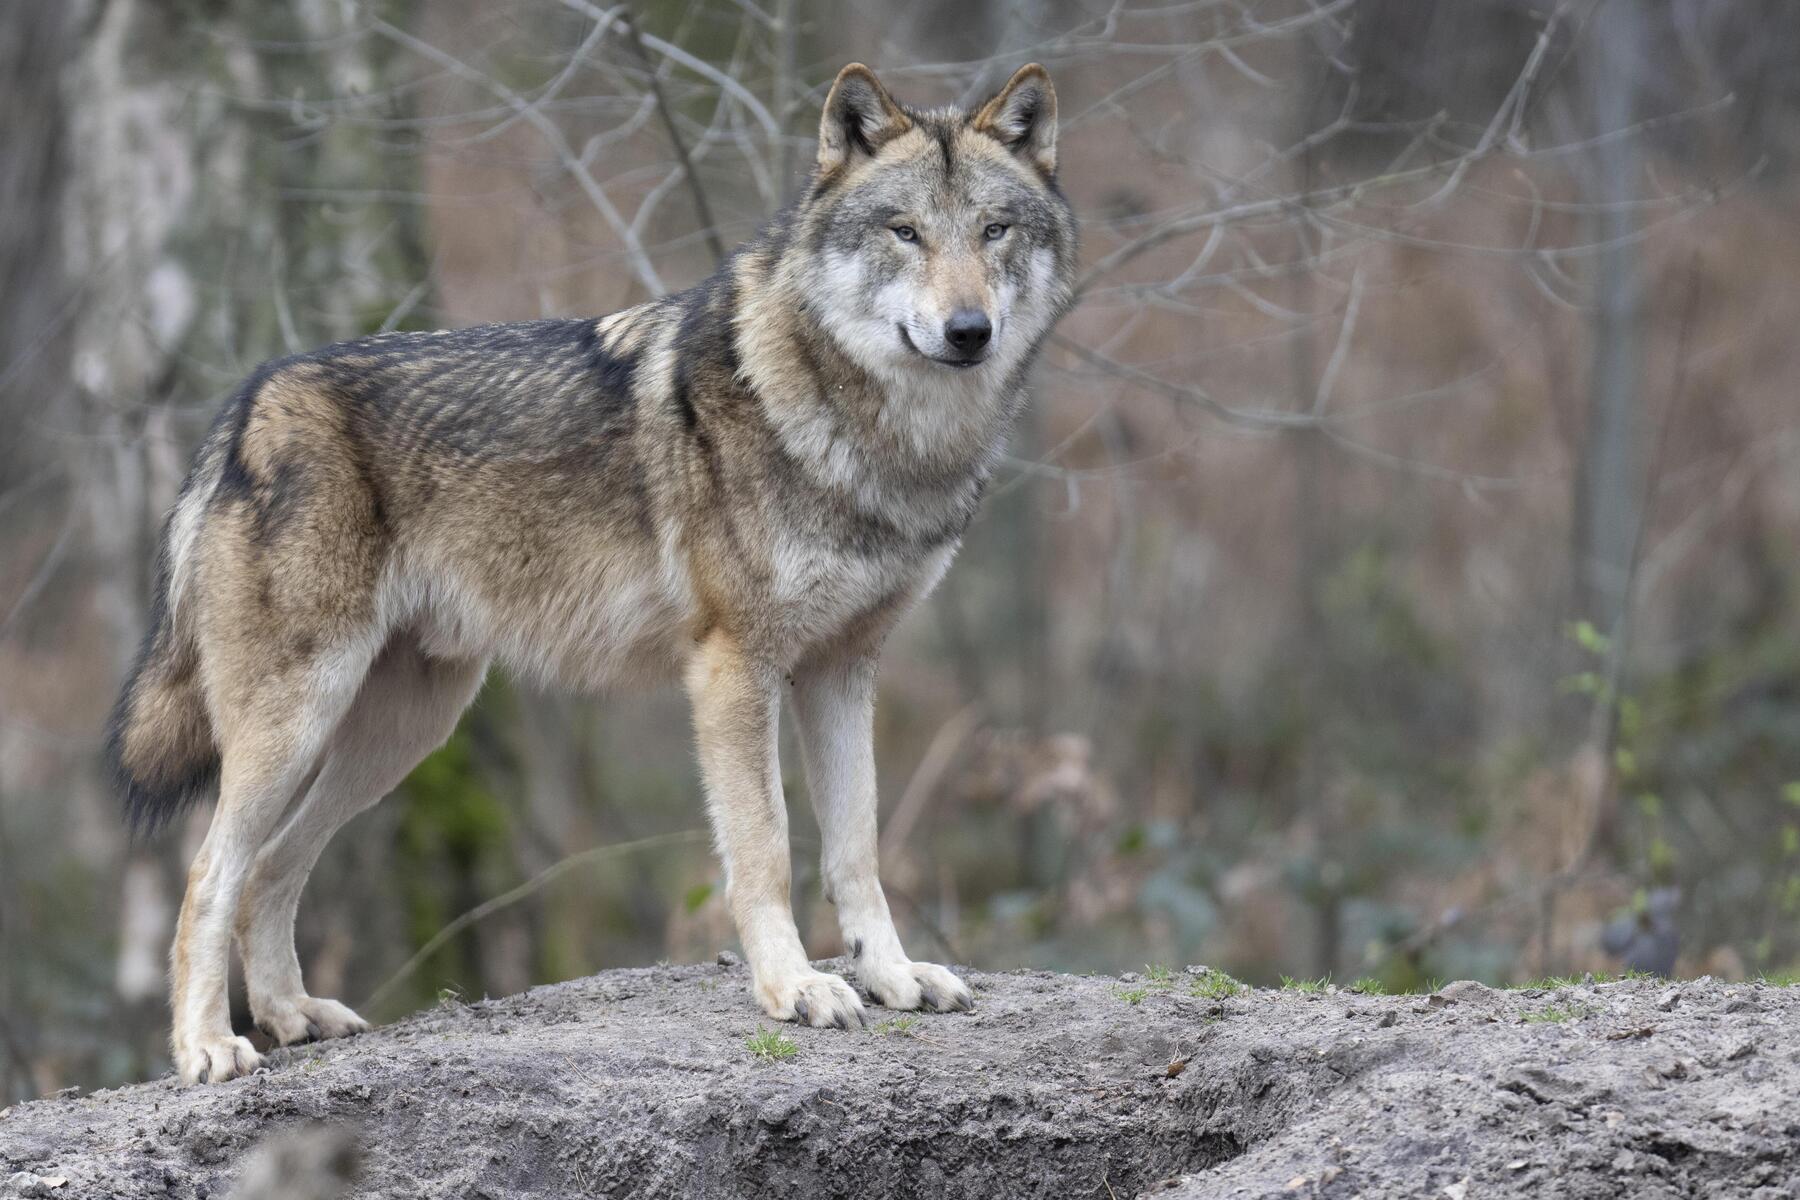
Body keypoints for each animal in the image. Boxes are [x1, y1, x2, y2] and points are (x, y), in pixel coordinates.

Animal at [107, 61, 1077, 1084]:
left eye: (993, 230)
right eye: (905, 231)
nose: (968, 330)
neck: (876, 442)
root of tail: (247, 404)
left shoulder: (843, 672)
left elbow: (857, 850)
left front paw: (891, 976)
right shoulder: (735, 669)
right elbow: (767, 849)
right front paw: (795, 989)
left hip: (400, 733)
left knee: (271, 868)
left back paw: (294, 1016)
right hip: (300, 722)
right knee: (209, 874)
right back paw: (208, 1047)